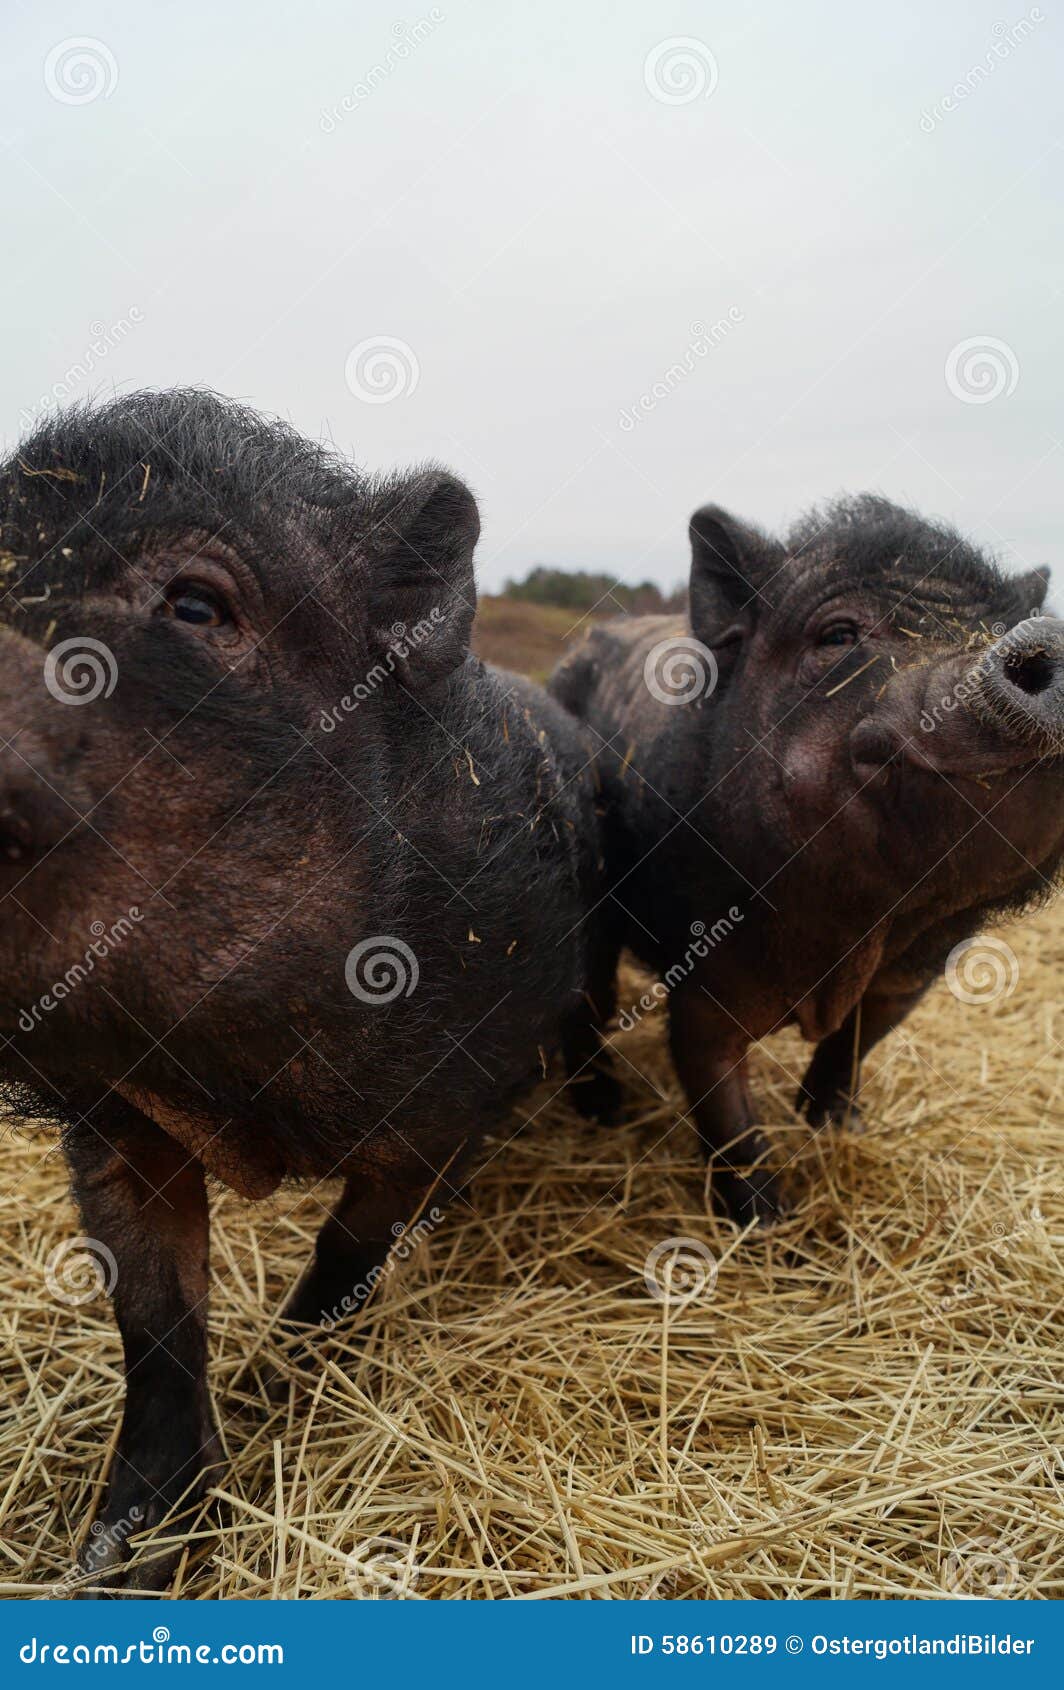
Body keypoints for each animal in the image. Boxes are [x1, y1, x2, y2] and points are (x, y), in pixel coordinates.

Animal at [0, 390, 600, 1591]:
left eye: (195, 604)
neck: (240, 1091)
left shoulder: (443, 1107)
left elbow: (350, 1254)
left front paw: (290, 1386)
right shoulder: (113, 1118)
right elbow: (155, 1321)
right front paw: (119, 1562)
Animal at [550, 497, 1064, 1225]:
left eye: (995, 624)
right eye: (839, 634)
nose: (1044, 636)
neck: (859, 927)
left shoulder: (914, 973)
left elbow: (855, 1044)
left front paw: (836, 1126)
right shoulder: (701, 970)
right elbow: (721, 1100)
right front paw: (765, 1219)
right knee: (587, 1001)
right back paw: (603, 1111)